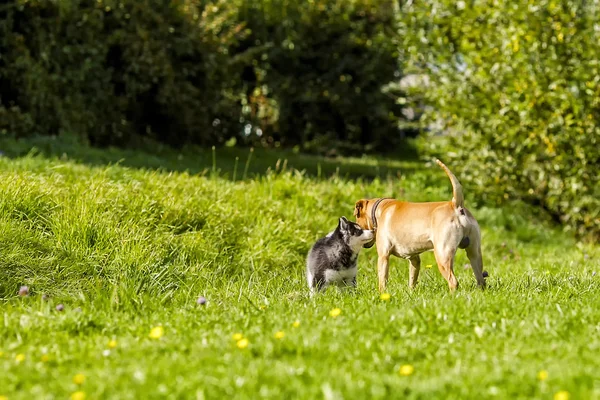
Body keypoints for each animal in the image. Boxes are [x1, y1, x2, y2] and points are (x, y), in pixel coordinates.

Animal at [354, 158, 486, 292]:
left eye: (357, 219)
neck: (380, 210)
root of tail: (456, 205)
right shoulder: (414, 258)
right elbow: (412, 278)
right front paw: (411, 292)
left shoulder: (383, 256)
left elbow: (382, 280)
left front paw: (382, 293)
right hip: (474, 253)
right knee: (481, 279)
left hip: (443, 254)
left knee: (453, 281)